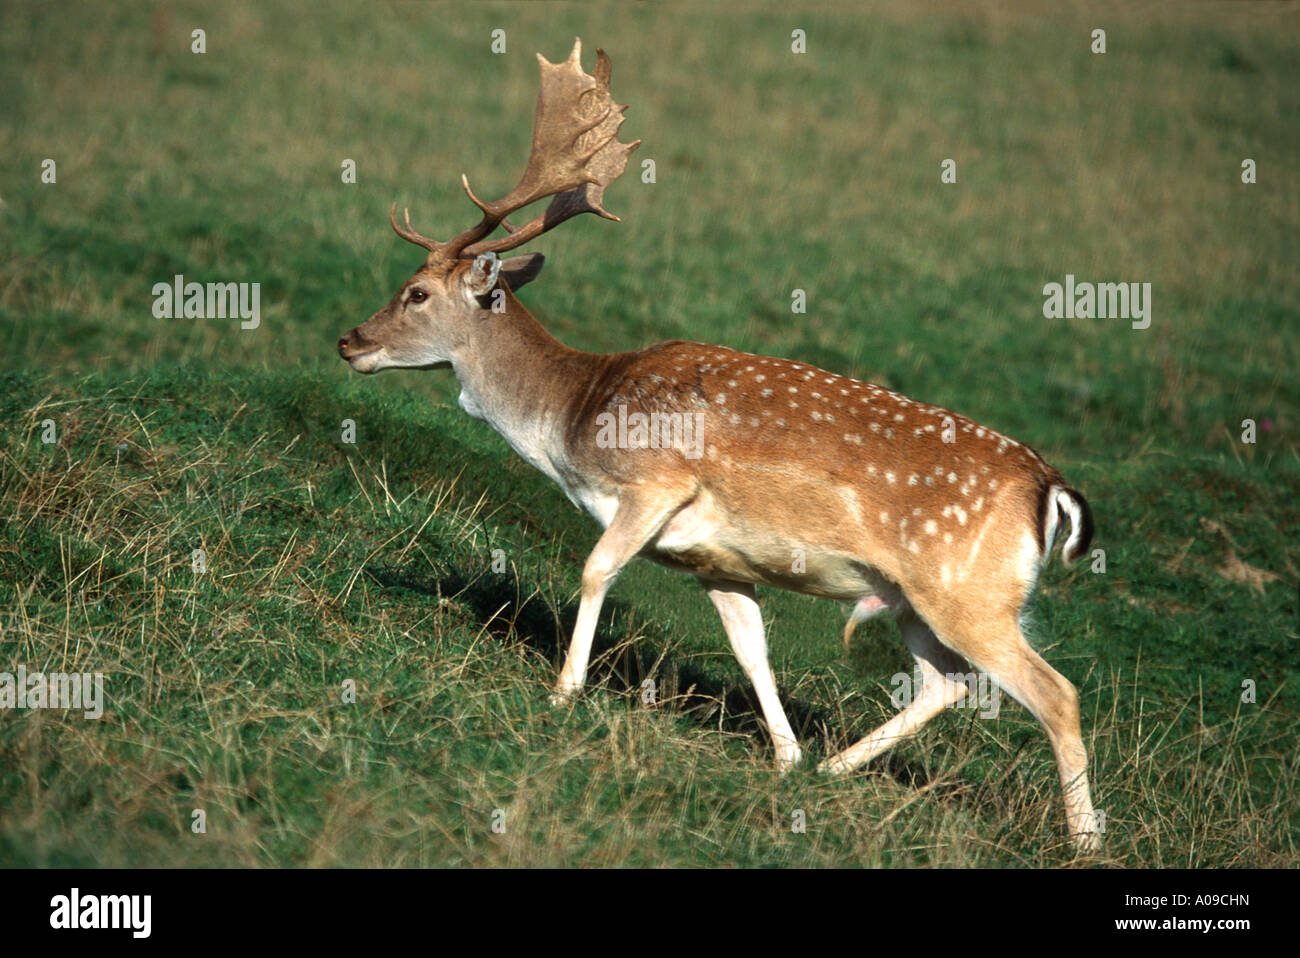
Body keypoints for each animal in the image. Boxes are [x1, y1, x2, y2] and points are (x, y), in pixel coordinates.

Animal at [337, 39, 1101, 853]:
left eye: (417, 292)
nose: (349, 340)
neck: (574, 414)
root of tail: (1050, 487)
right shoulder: (717, 560)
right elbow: (750, 647)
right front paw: (787, 756)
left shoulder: (655, 484)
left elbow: (596, 568)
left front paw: (563, 694)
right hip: (915, 600)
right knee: (947, 683)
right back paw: (836, 768)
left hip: (968, 592)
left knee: (1056, 693)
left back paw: (1087, 841)